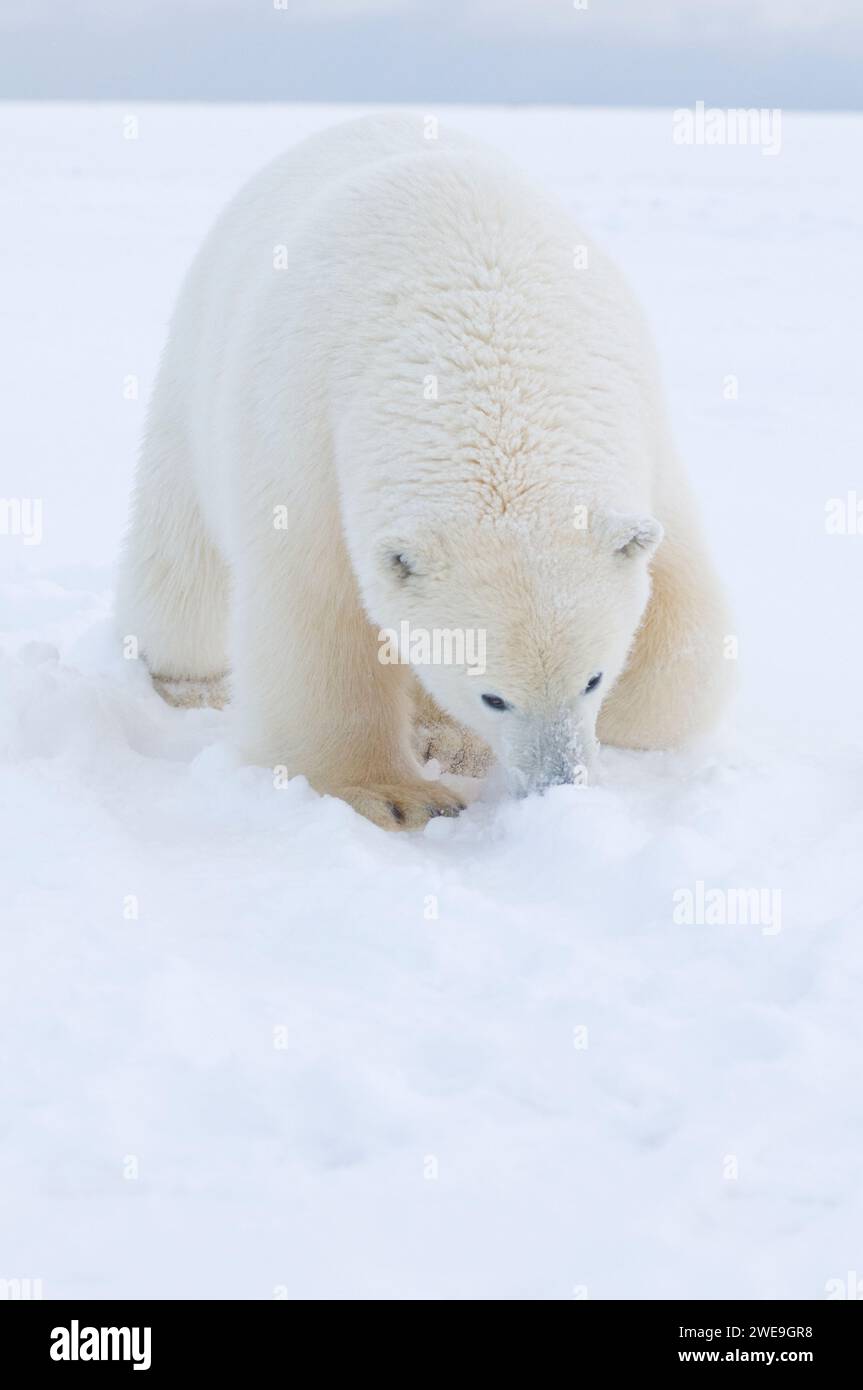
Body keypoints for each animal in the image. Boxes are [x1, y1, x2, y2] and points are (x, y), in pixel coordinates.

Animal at [116, 114, 732, 829]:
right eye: (495, 696)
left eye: (593, 678)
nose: (557, 784)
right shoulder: (306, 435)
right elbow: (315, 619)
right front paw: (395, 796)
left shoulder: (640, 419)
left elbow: (683, 622)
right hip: (193, 384)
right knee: (179, 573)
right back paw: (191, 684)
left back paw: (447, 739)